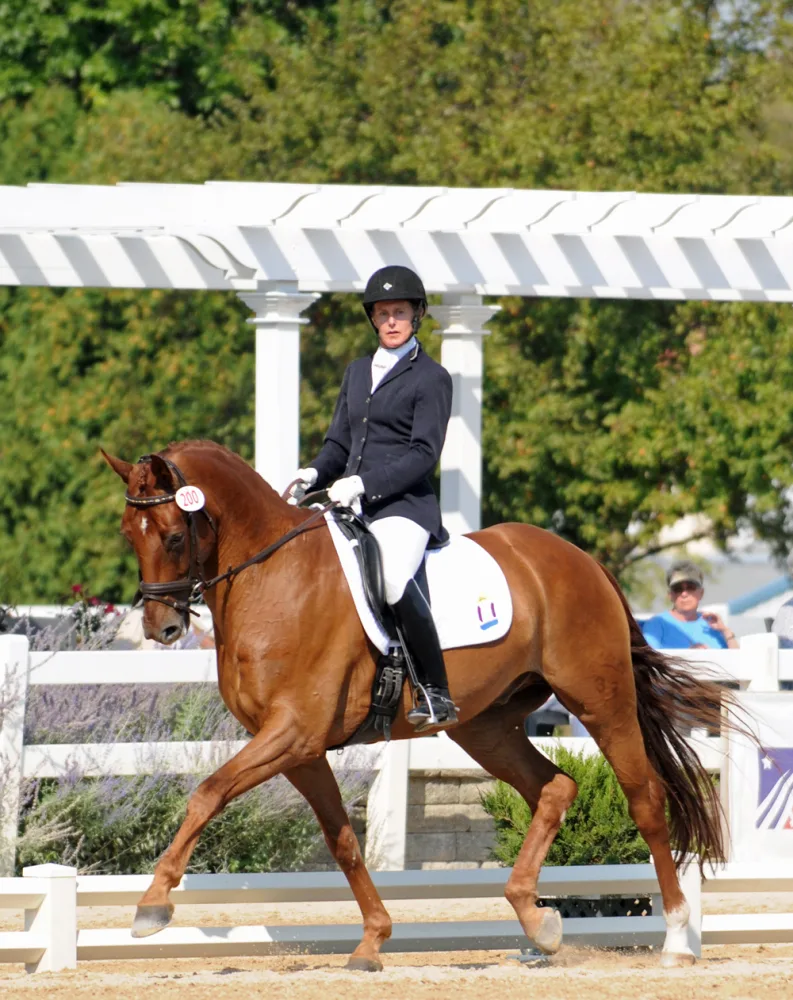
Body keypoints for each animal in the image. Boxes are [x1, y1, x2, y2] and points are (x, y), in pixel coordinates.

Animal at [103, 438, 734, 970]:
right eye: (128, 534)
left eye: (173, 536)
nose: (161, 628)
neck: (271, 577)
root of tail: (580, 558)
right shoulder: (300, 748)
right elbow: (343, 842)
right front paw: (372, 941)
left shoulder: (292, 732)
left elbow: (207, 793)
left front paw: (152, 906)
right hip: (484, 727)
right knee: (555, 788)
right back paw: (538, 922)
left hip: (600, 700)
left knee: (645, 799)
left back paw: (676, 940)